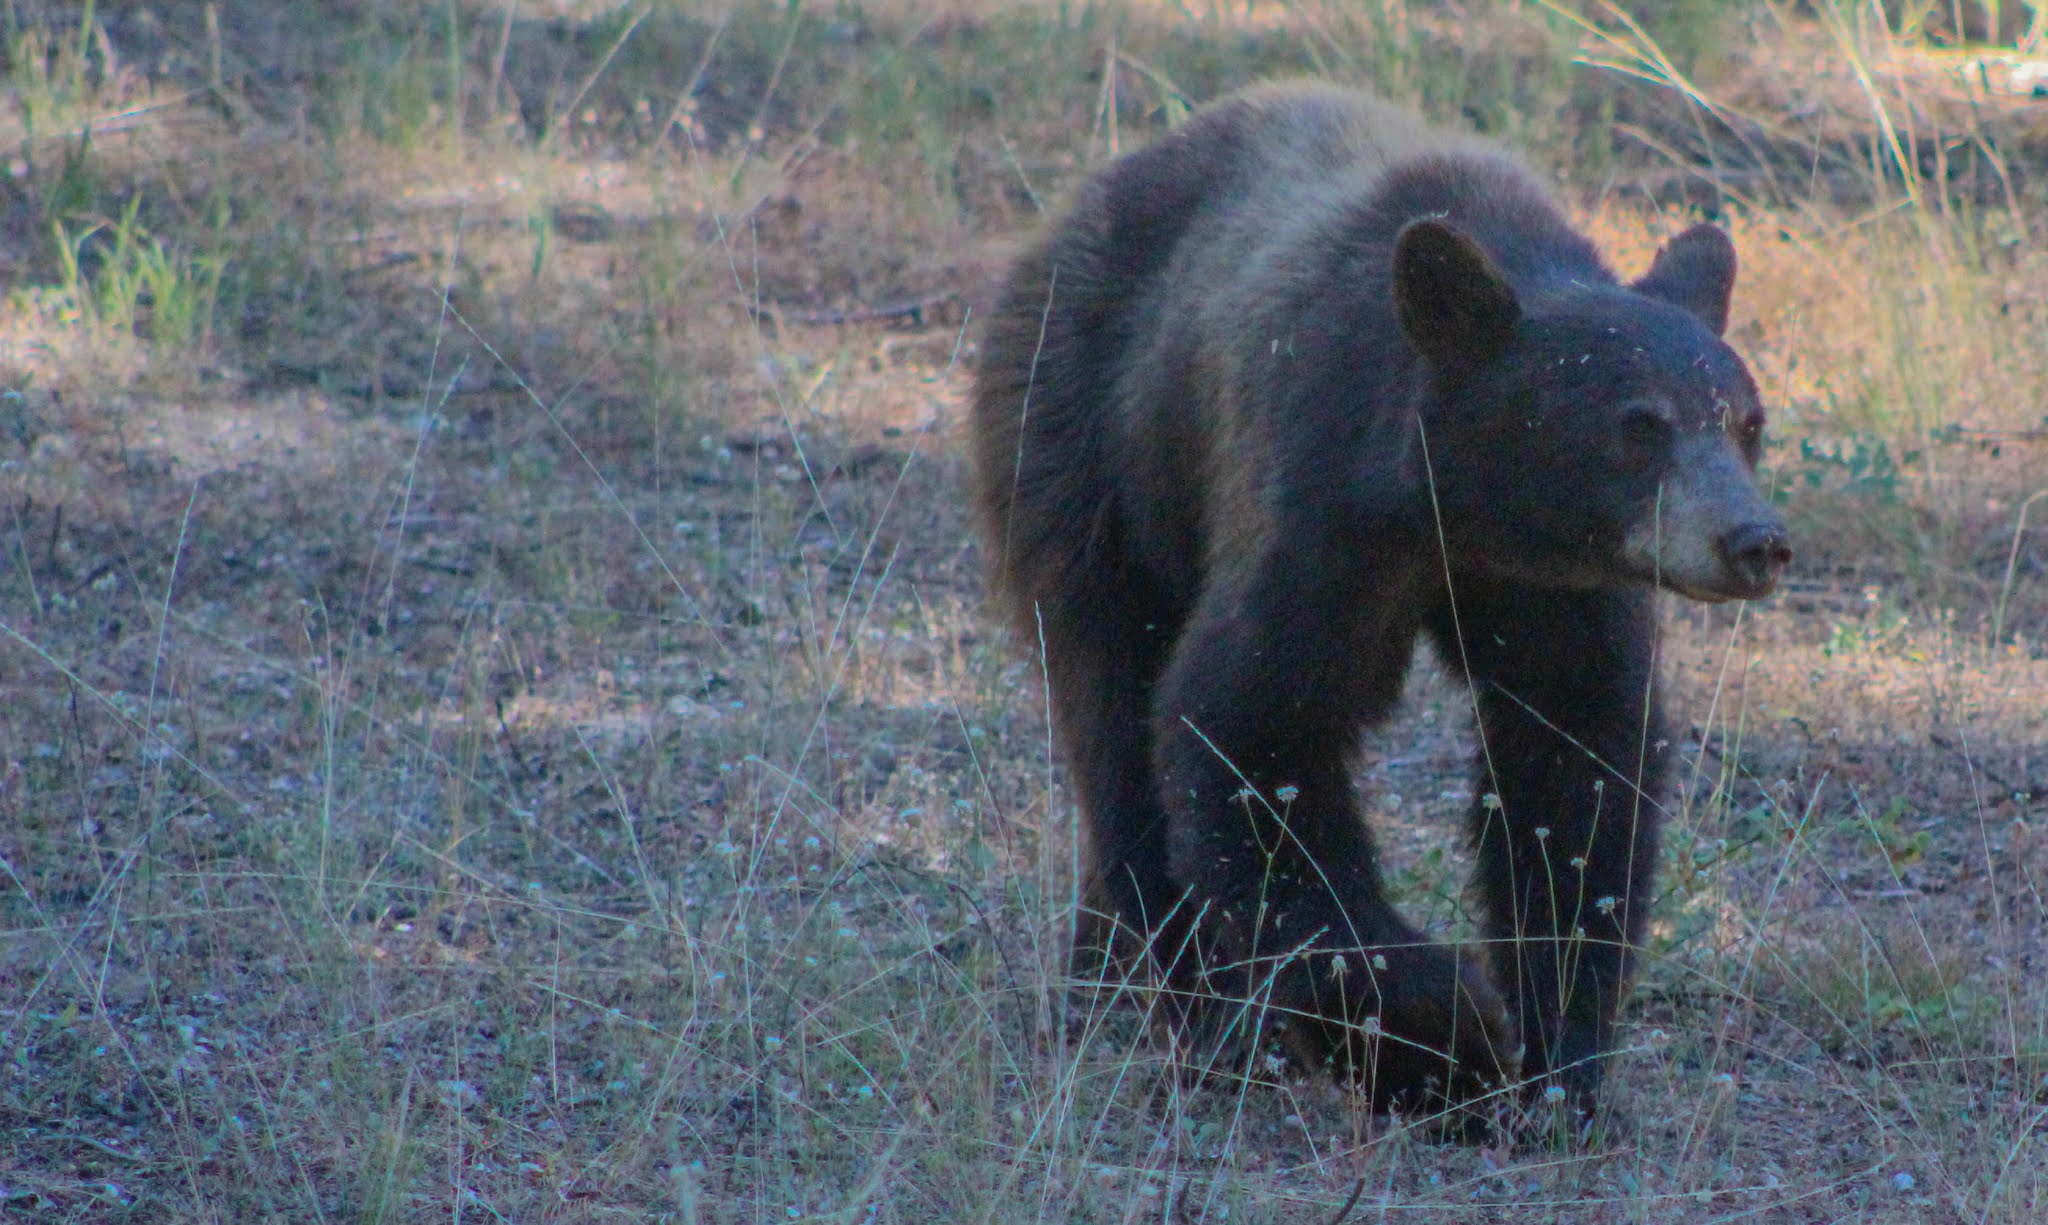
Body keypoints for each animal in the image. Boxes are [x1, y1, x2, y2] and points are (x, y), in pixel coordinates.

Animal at [968, 80, 1790, 1117]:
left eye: (1748, 423)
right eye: (1638, 425)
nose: (1753, 540)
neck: (1462, 512)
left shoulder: (1557, 587)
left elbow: (1576, 765)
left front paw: (1562, 1056)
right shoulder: (1322, 515)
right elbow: (1252, 728)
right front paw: (1443, 1034)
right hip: (1092, 449)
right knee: (1114, 704)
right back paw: (1186, 999)